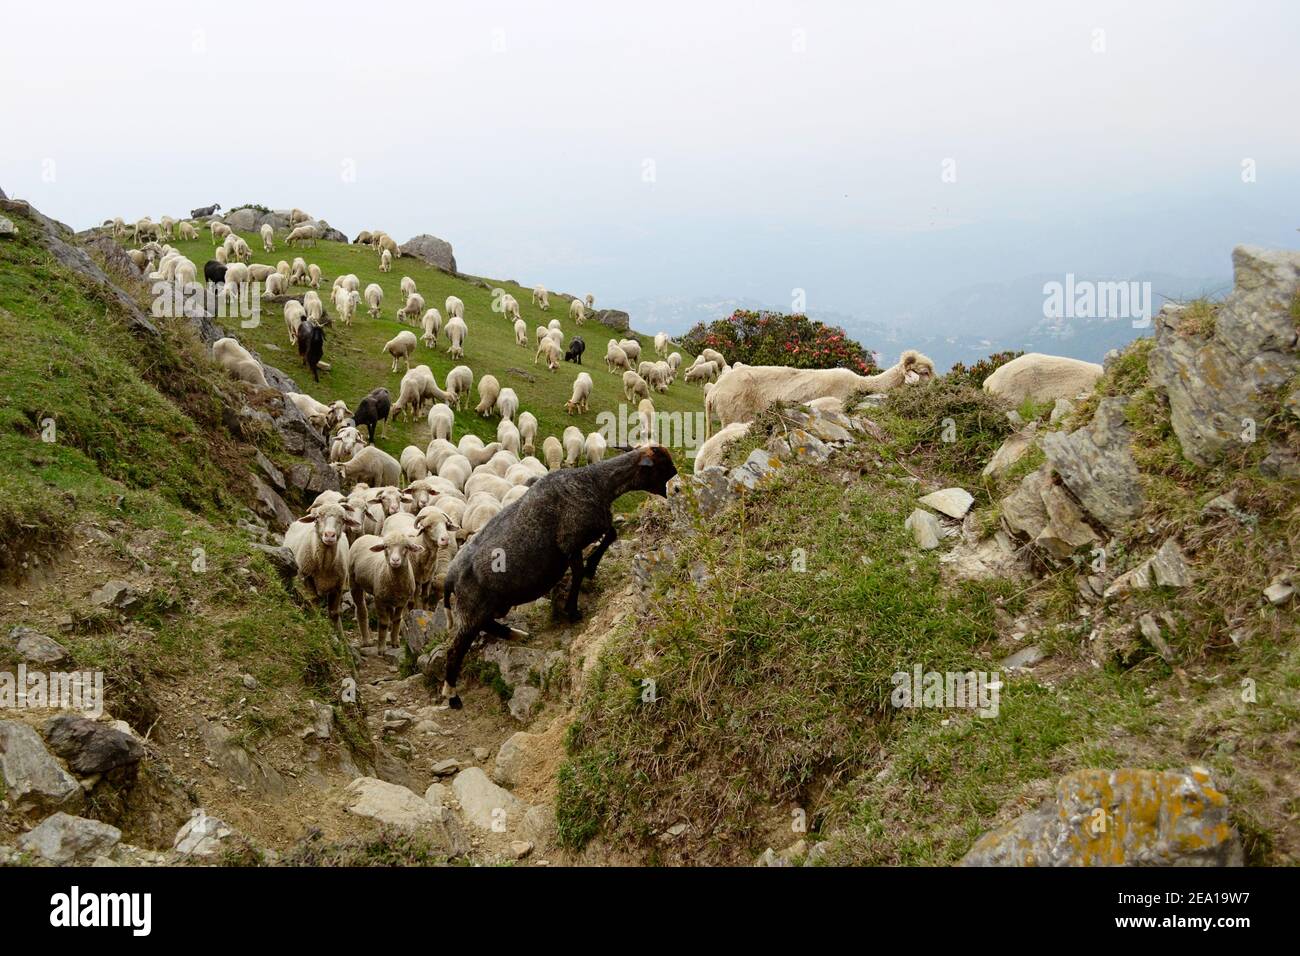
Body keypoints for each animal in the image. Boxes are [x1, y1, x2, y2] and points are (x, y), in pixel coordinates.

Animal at [284, 503, 357, 640]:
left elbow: (334, 612)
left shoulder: (338, 586)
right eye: (317, 518)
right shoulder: (307, 578)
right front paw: (319, 623)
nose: (329, 535)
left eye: (343, 519)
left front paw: (341, 637)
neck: (324, 566)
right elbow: (314, 602)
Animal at [439, 445, 678, 706]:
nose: (676, 486)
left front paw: (592, 568)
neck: (596, 483)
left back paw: (516, 635)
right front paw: (573, 609)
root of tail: (449, 577)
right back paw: (452, 695)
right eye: (663, 465)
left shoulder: (587, 532)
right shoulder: (570, 542)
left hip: (490, 606)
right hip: (471, 610)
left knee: (488, 625)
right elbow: (580, 570)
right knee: (454, 651)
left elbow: (611, 533)